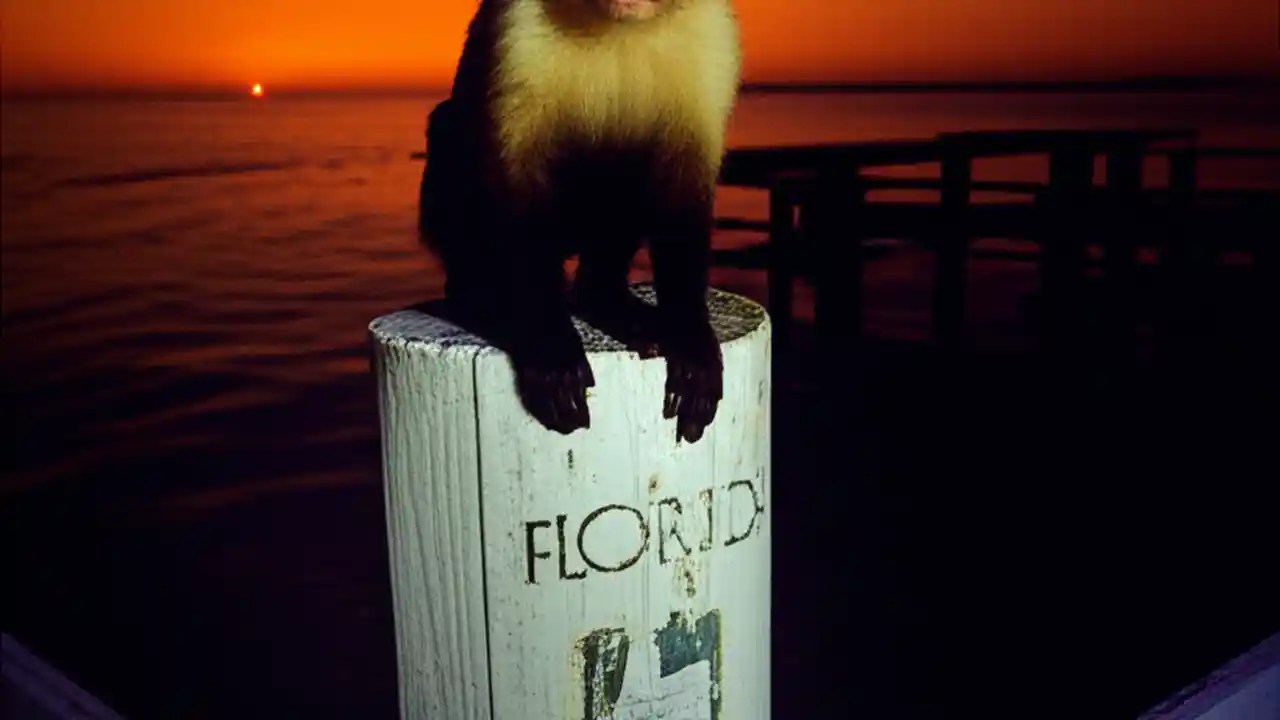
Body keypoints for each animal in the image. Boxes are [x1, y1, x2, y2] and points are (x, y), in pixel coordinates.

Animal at [419, 0, 740, 443]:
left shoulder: (710, 37)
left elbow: (683, 194)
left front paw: (691, 344)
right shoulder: (517, 29)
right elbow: (520, 193)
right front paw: (550, 350)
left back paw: (606, 300)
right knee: (450, 127)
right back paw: (479, 299)